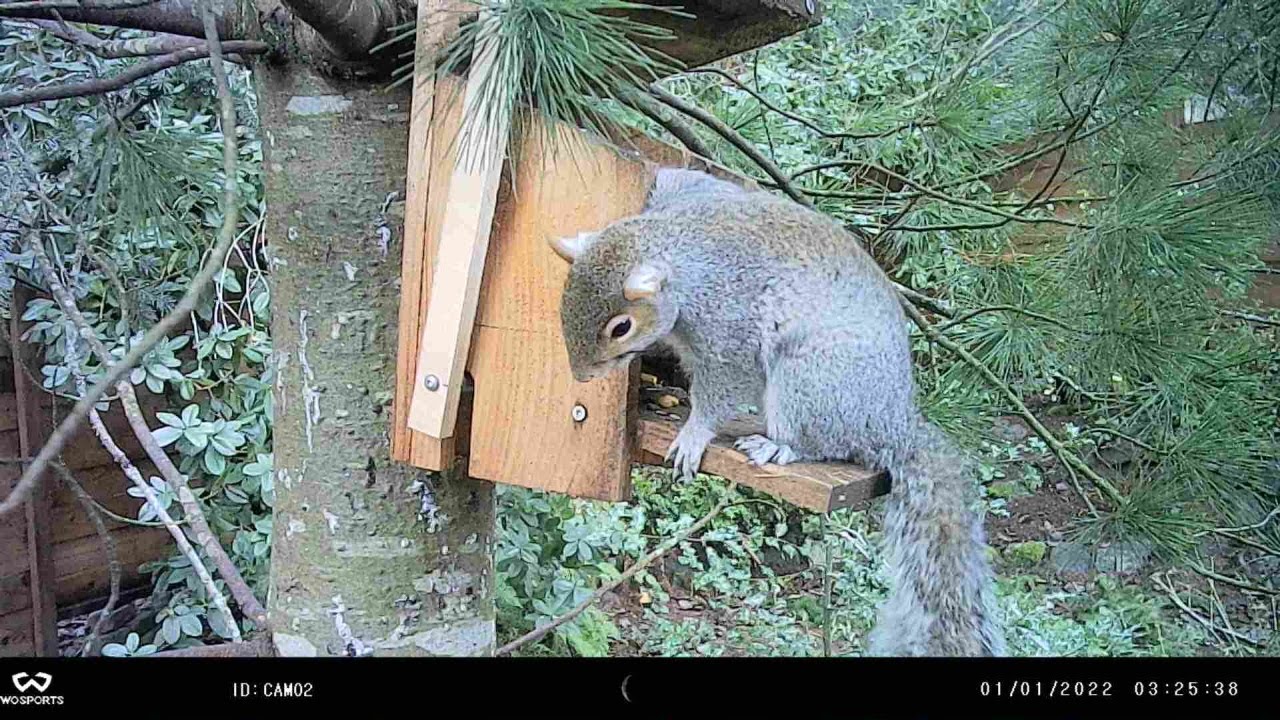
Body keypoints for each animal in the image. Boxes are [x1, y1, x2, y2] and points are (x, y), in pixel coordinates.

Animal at [548, 167, 1005, 657]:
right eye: (564, 300)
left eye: (621, 327)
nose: (581, 376)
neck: (683, 258)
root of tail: (892, 423)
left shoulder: (729, 330)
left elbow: (721, 389)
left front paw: (693, 435)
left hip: (810, 380)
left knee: (819, 442)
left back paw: (776, 447)